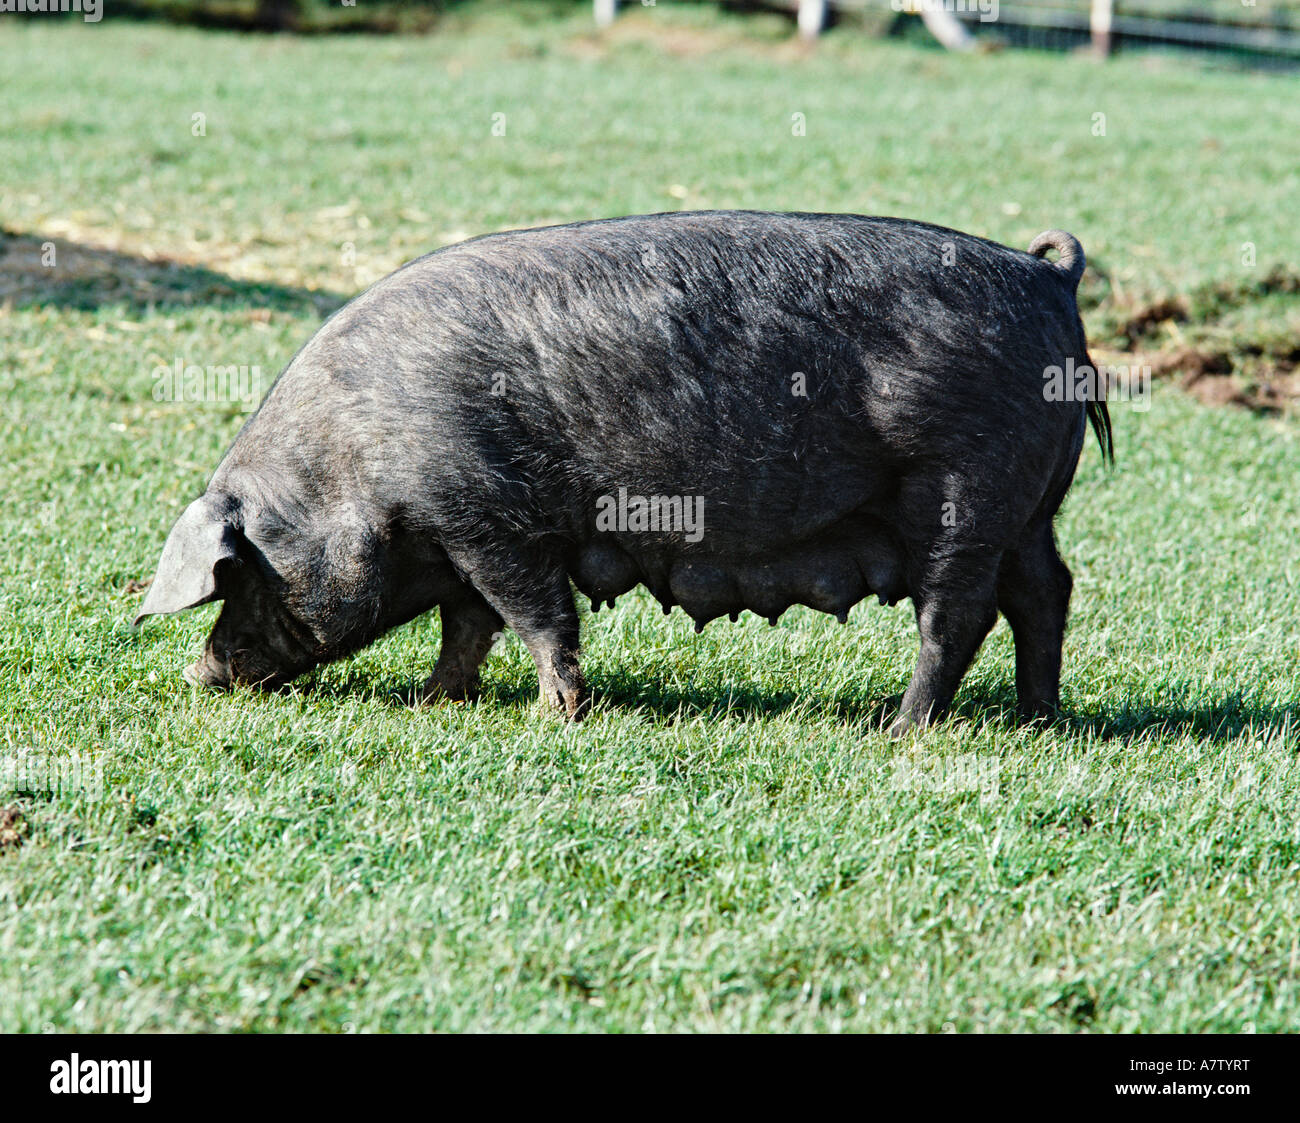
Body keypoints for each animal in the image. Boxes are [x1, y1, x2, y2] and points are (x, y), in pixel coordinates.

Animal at [134, 211, 1112, 736]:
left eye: (240, 573)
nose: (200, 673)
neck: (354, 465)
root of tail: (1047, 277)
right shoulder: (460, 534)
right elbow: (469, 623)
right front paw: (437, 700)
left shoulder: (490, 520)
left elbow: (533, 613)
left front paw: (553, 715)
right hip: (1031, 505)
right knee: (1047, 590)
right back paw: (1039, 716)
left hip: (963, 489)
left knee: (960, 610)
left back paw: (897, 727)